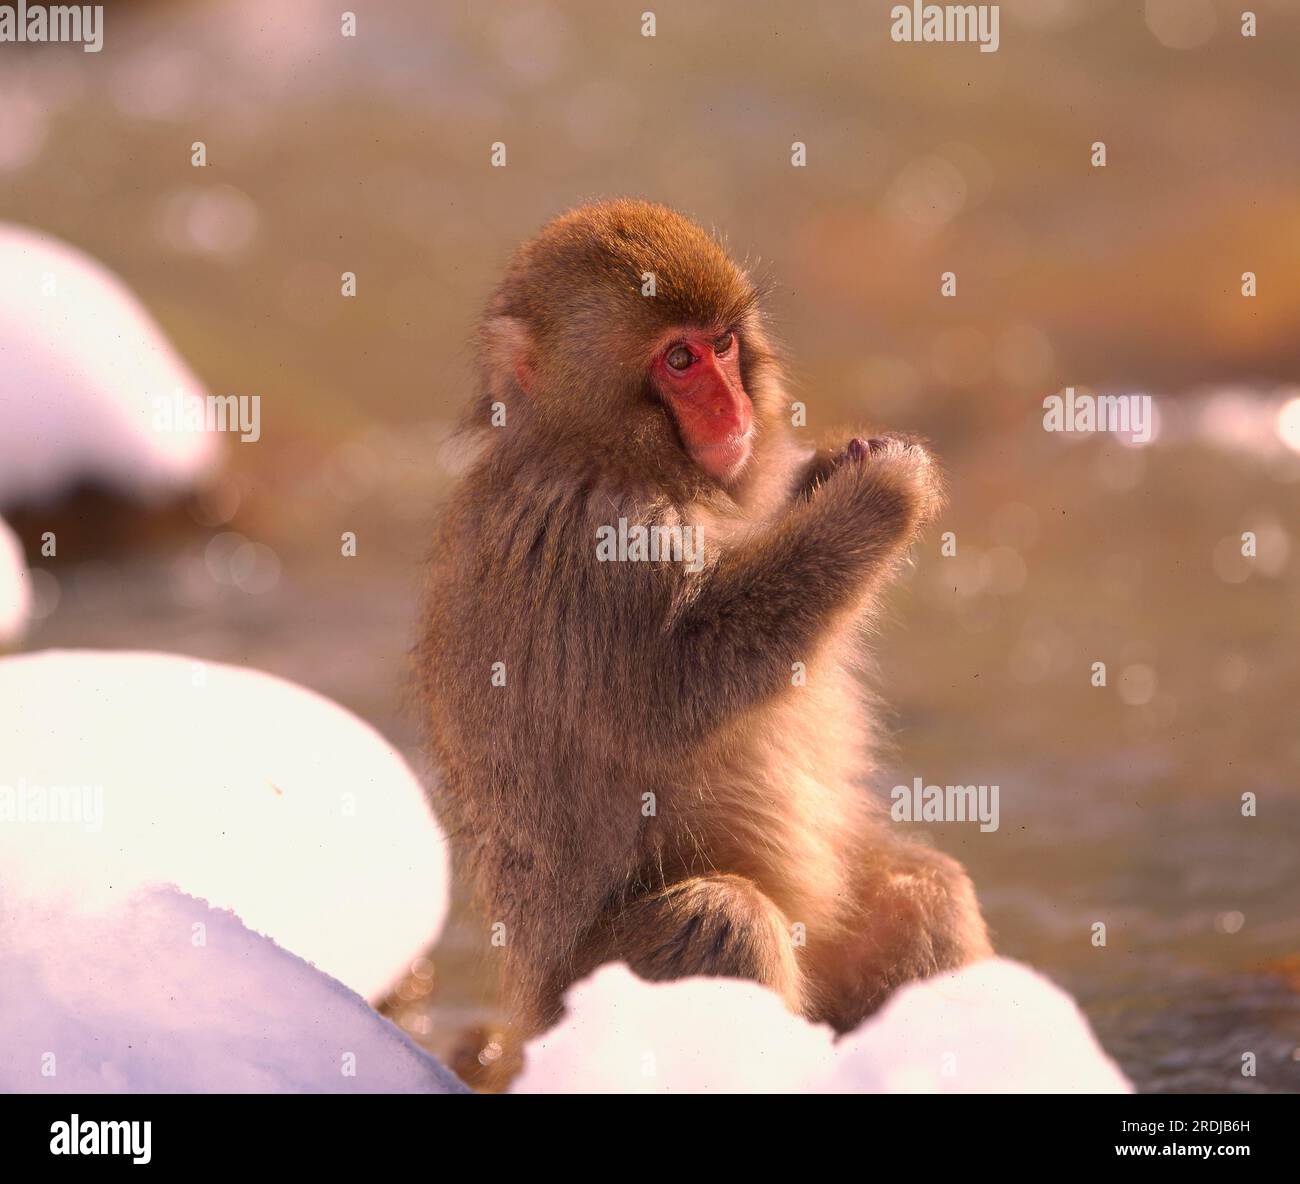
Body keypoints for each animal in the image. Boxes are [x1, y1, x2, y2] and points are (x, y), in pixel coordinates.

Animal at [415, 198, 991, 1084]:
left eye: (722, 345)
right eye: (678, 360)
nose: (734, 412)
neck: (610, 453)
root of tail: (528, 1026)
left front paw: (829, 470)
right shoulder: (596, 541)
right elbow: (677, 692)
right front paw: (880, 494)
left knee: (923, 890)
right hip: (590, 1003)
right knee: (723, 919)